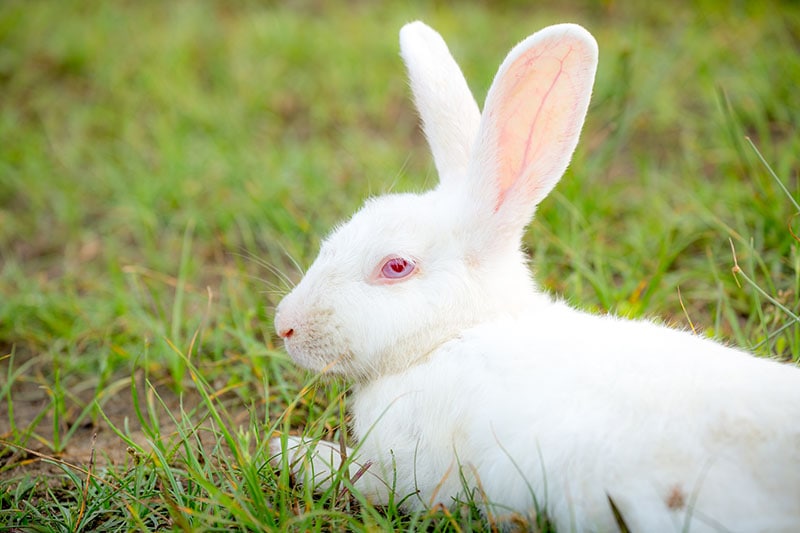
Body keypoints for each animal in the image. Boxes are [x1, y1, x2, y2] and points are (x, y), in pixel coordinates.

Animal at [271, 20, 800, 532]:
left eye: (395, 266)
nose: (284, 325)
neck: (455, 335)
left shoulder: (412, 475)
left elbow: (360, 476)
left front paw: (288, 451)